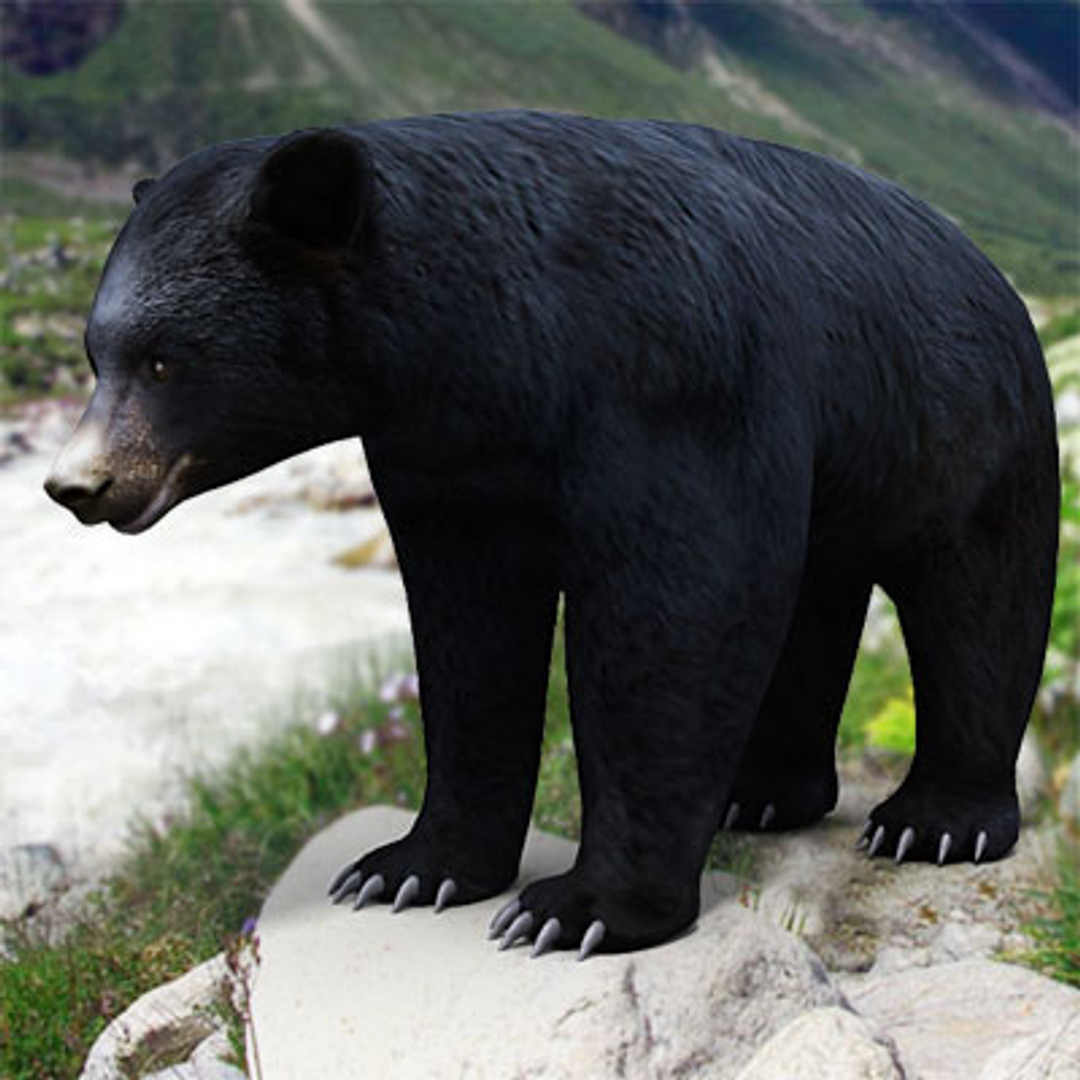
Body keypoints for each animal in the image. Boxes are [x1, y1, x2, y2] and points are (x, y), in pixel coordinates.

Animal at [45, 110, 1060, 960]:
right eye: (97, 355)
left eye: (165, 359)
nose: (75, 485)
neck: (496, 340)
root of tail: (988, 263)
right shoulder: (449, 456)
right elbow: (468, 633)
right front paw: (410, 866)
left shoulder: (674, 382)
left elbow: (677, 616)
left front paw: (583, 909)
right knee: (816, 602)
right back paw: (765, 793)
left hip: (966, 423)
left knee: (980, 605)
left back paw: (936, 820)